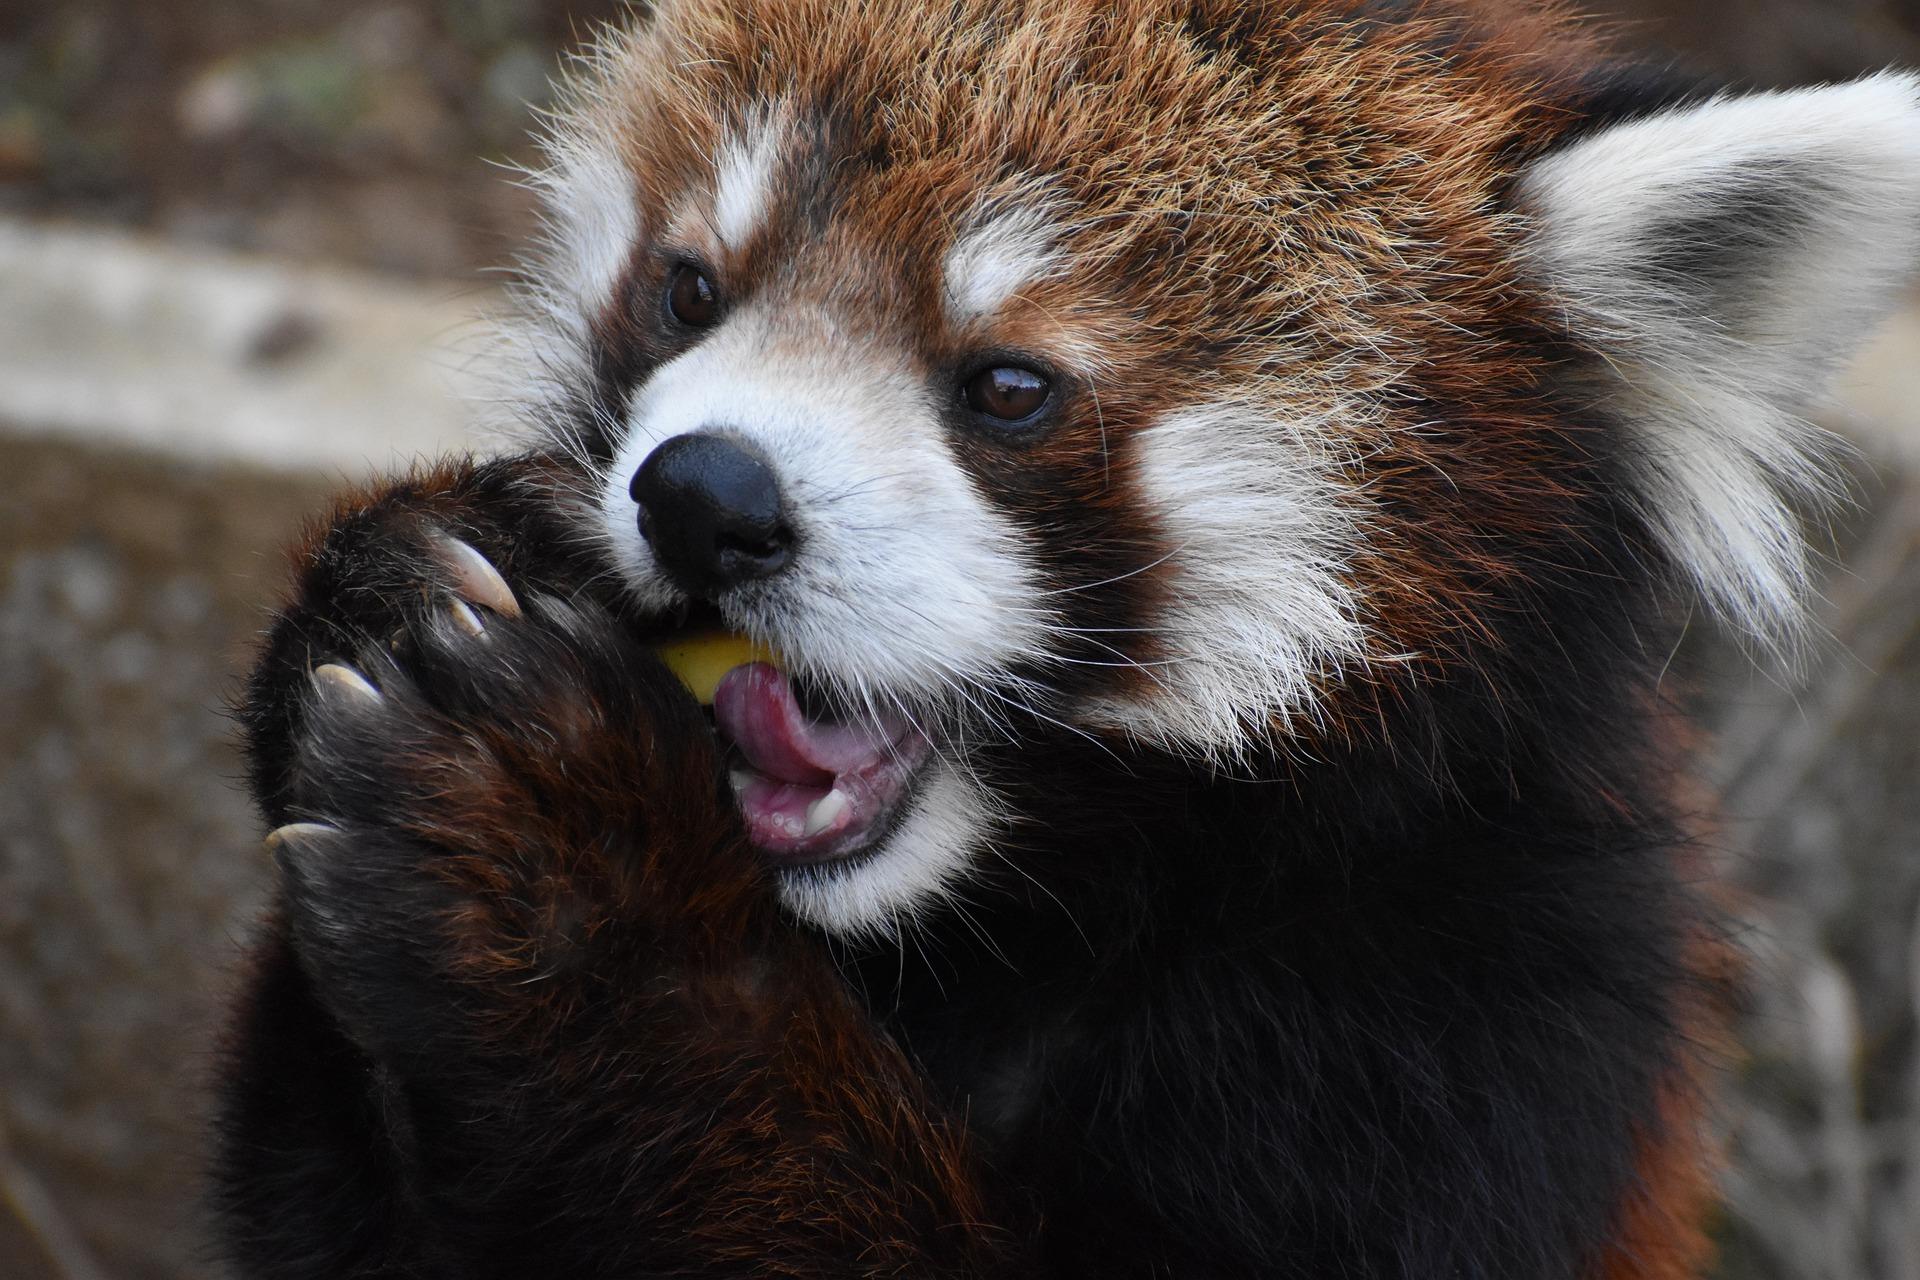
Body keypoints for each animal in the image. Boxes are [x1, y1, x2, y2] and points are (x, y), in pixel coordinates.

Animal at [210, 0, 1920, 1275]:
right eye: (690, 290)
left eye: (1010, 387)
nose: (701, 498)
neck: (1019, 929)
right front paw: (391, 577)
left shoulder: (1476, 1013)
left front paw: (575, 875)